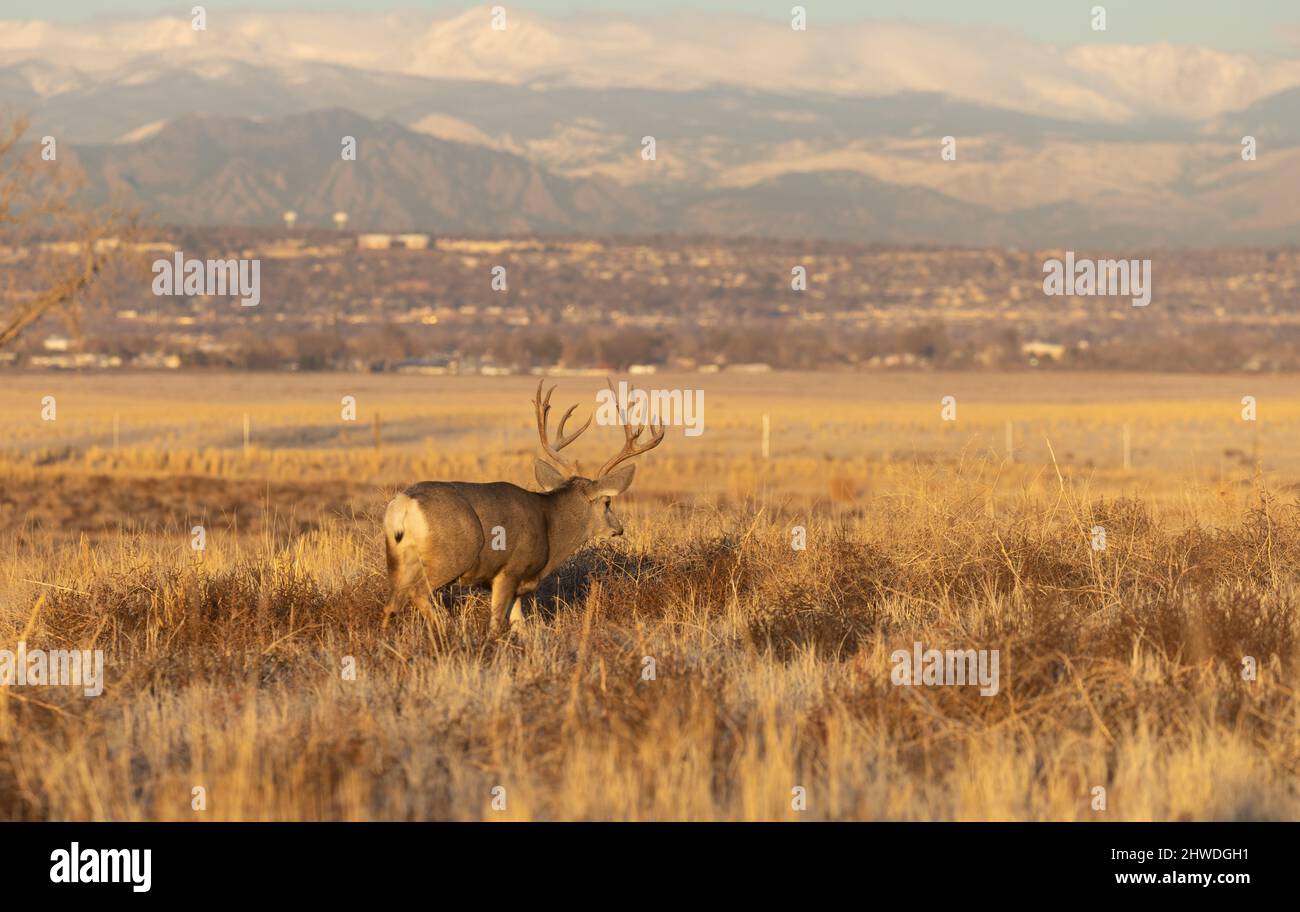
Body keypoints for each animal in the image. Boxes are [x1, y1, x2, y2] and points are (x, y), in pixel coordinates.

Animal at [382, 379, 665, 634]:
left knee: (391, 604)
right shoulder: (510, 569)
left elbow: (521, 627)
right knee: (417, 593)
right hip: (450, 557)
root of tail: (404, 503)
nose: (619, 528)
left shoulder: (517, 585)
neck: (550, 526)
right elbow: (496, 624)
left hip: (398, 559)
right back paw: (446, 630)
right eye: (607, 502)